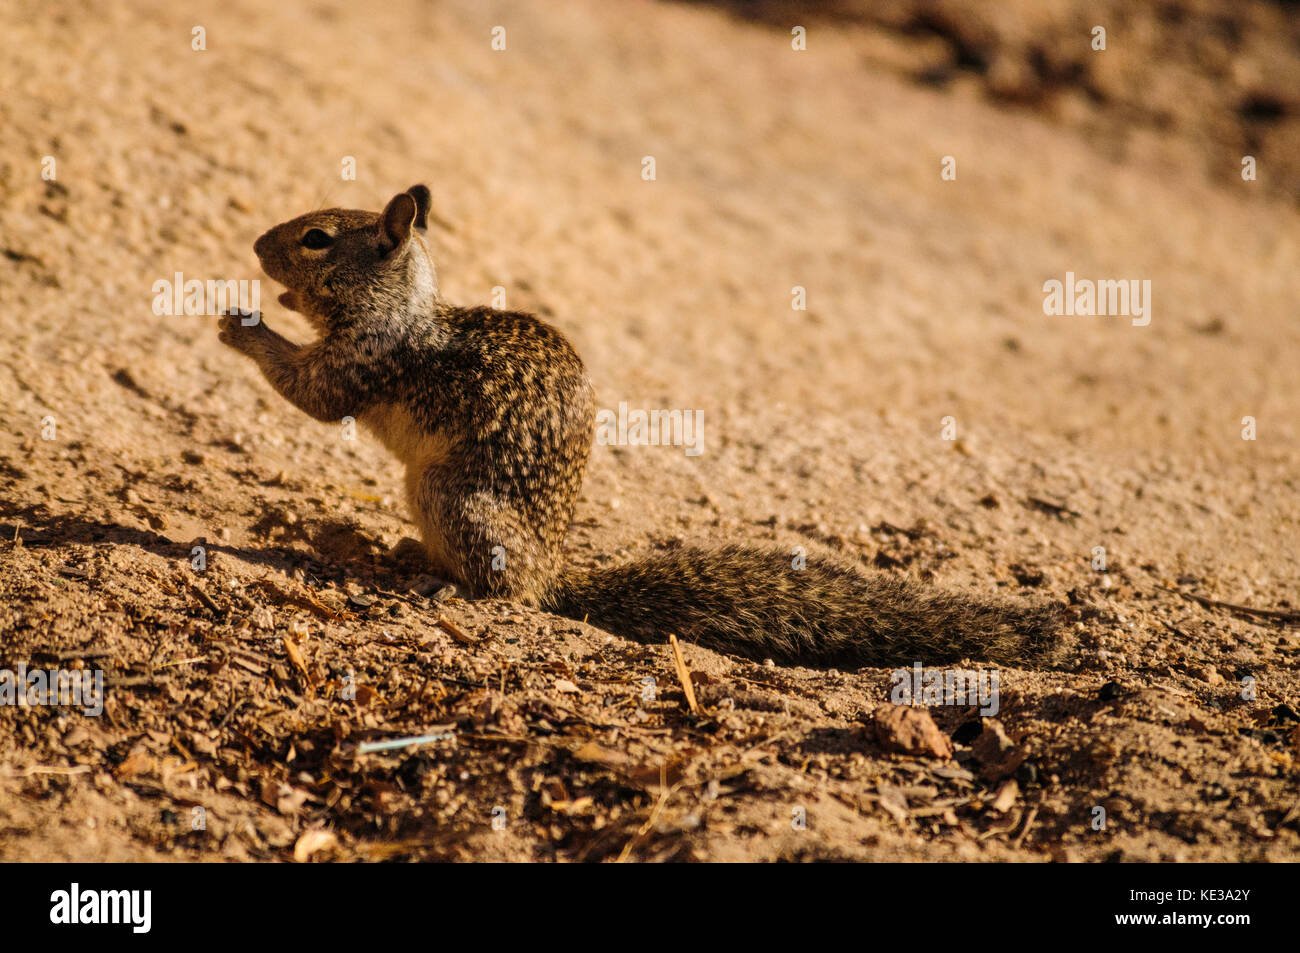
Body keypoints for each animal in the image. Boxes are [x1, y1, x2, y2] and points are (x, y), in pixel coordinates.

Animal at [218, 185, 1068, 669]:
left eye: (318, 238)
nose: (256, 244)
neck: (401, 309)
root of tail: (554, 569)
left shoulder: (365, 362)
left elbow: (311, 391)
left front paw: (244, 328)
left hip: (450, 493)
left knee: (509, 592)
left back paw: (450, 586)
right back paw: (403, 552)